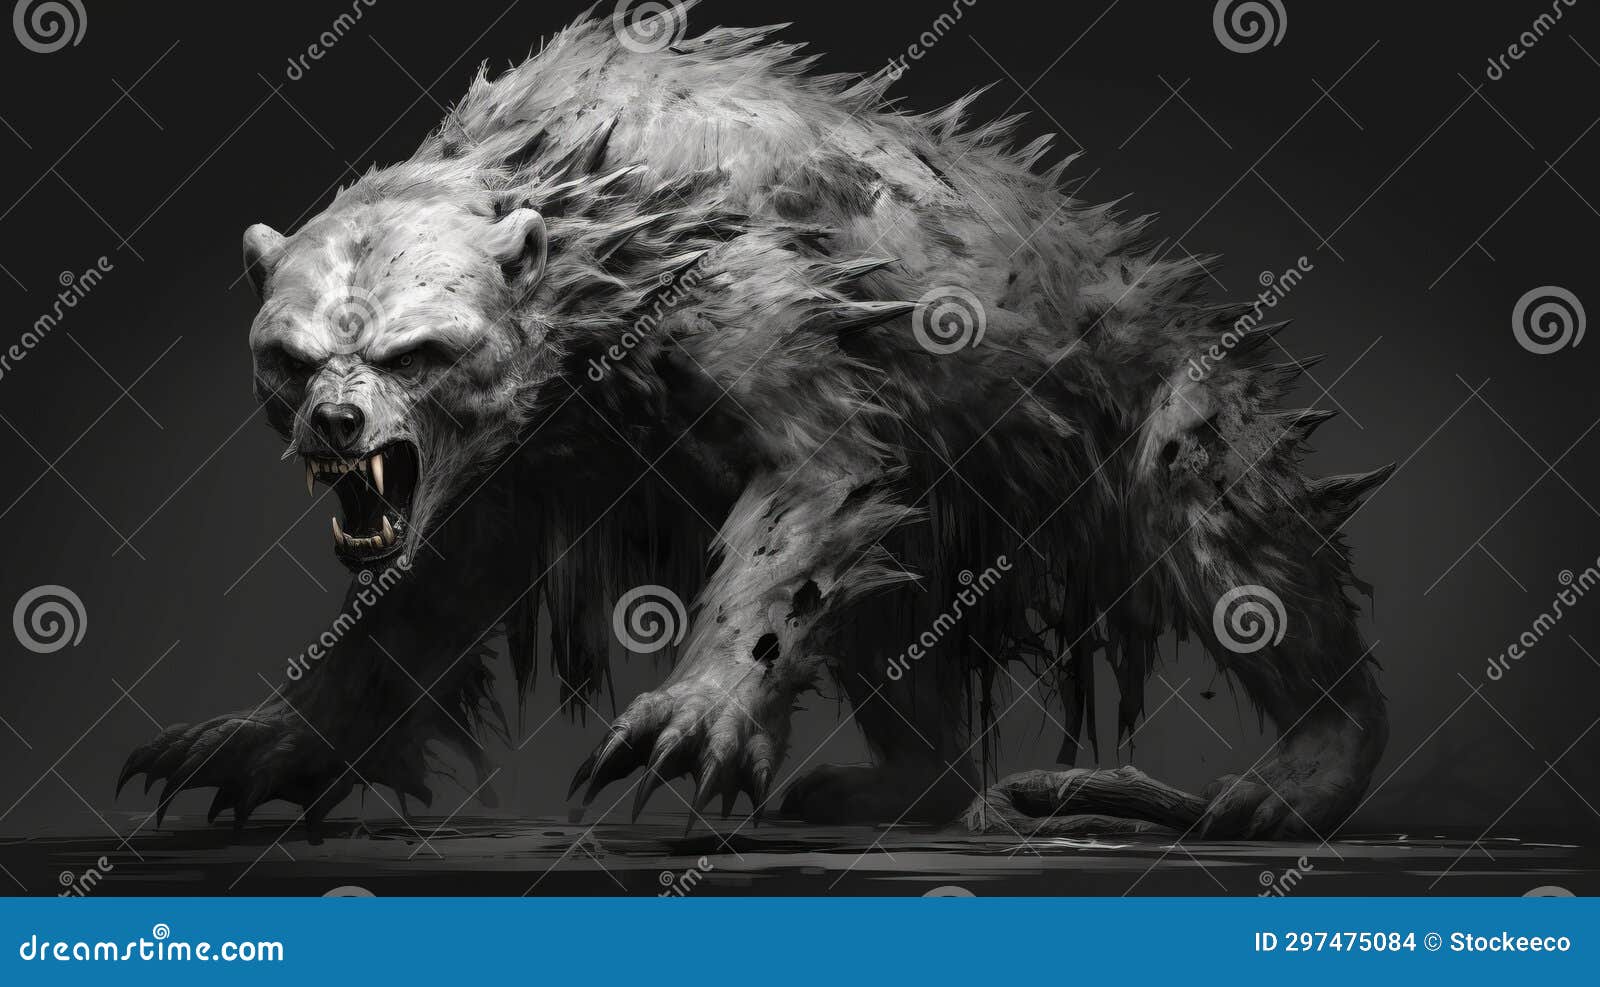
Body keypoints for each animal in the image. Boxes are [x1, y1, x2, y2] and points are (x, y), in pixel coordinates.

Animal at [117, 4, 1390, 841]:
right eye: (288, 358)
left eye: (414, 350)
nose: (335, 424)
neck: (575, 194)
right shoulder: (529, 441)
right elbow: (439, 584)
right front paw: (249, 742)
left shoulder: (728, 286)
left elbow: (811, 476)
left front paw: (685, 721)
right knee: (894, 612)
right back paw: (895, 787)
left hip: (1138, 383)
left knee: (1220, 515)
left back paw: (1274, 782)